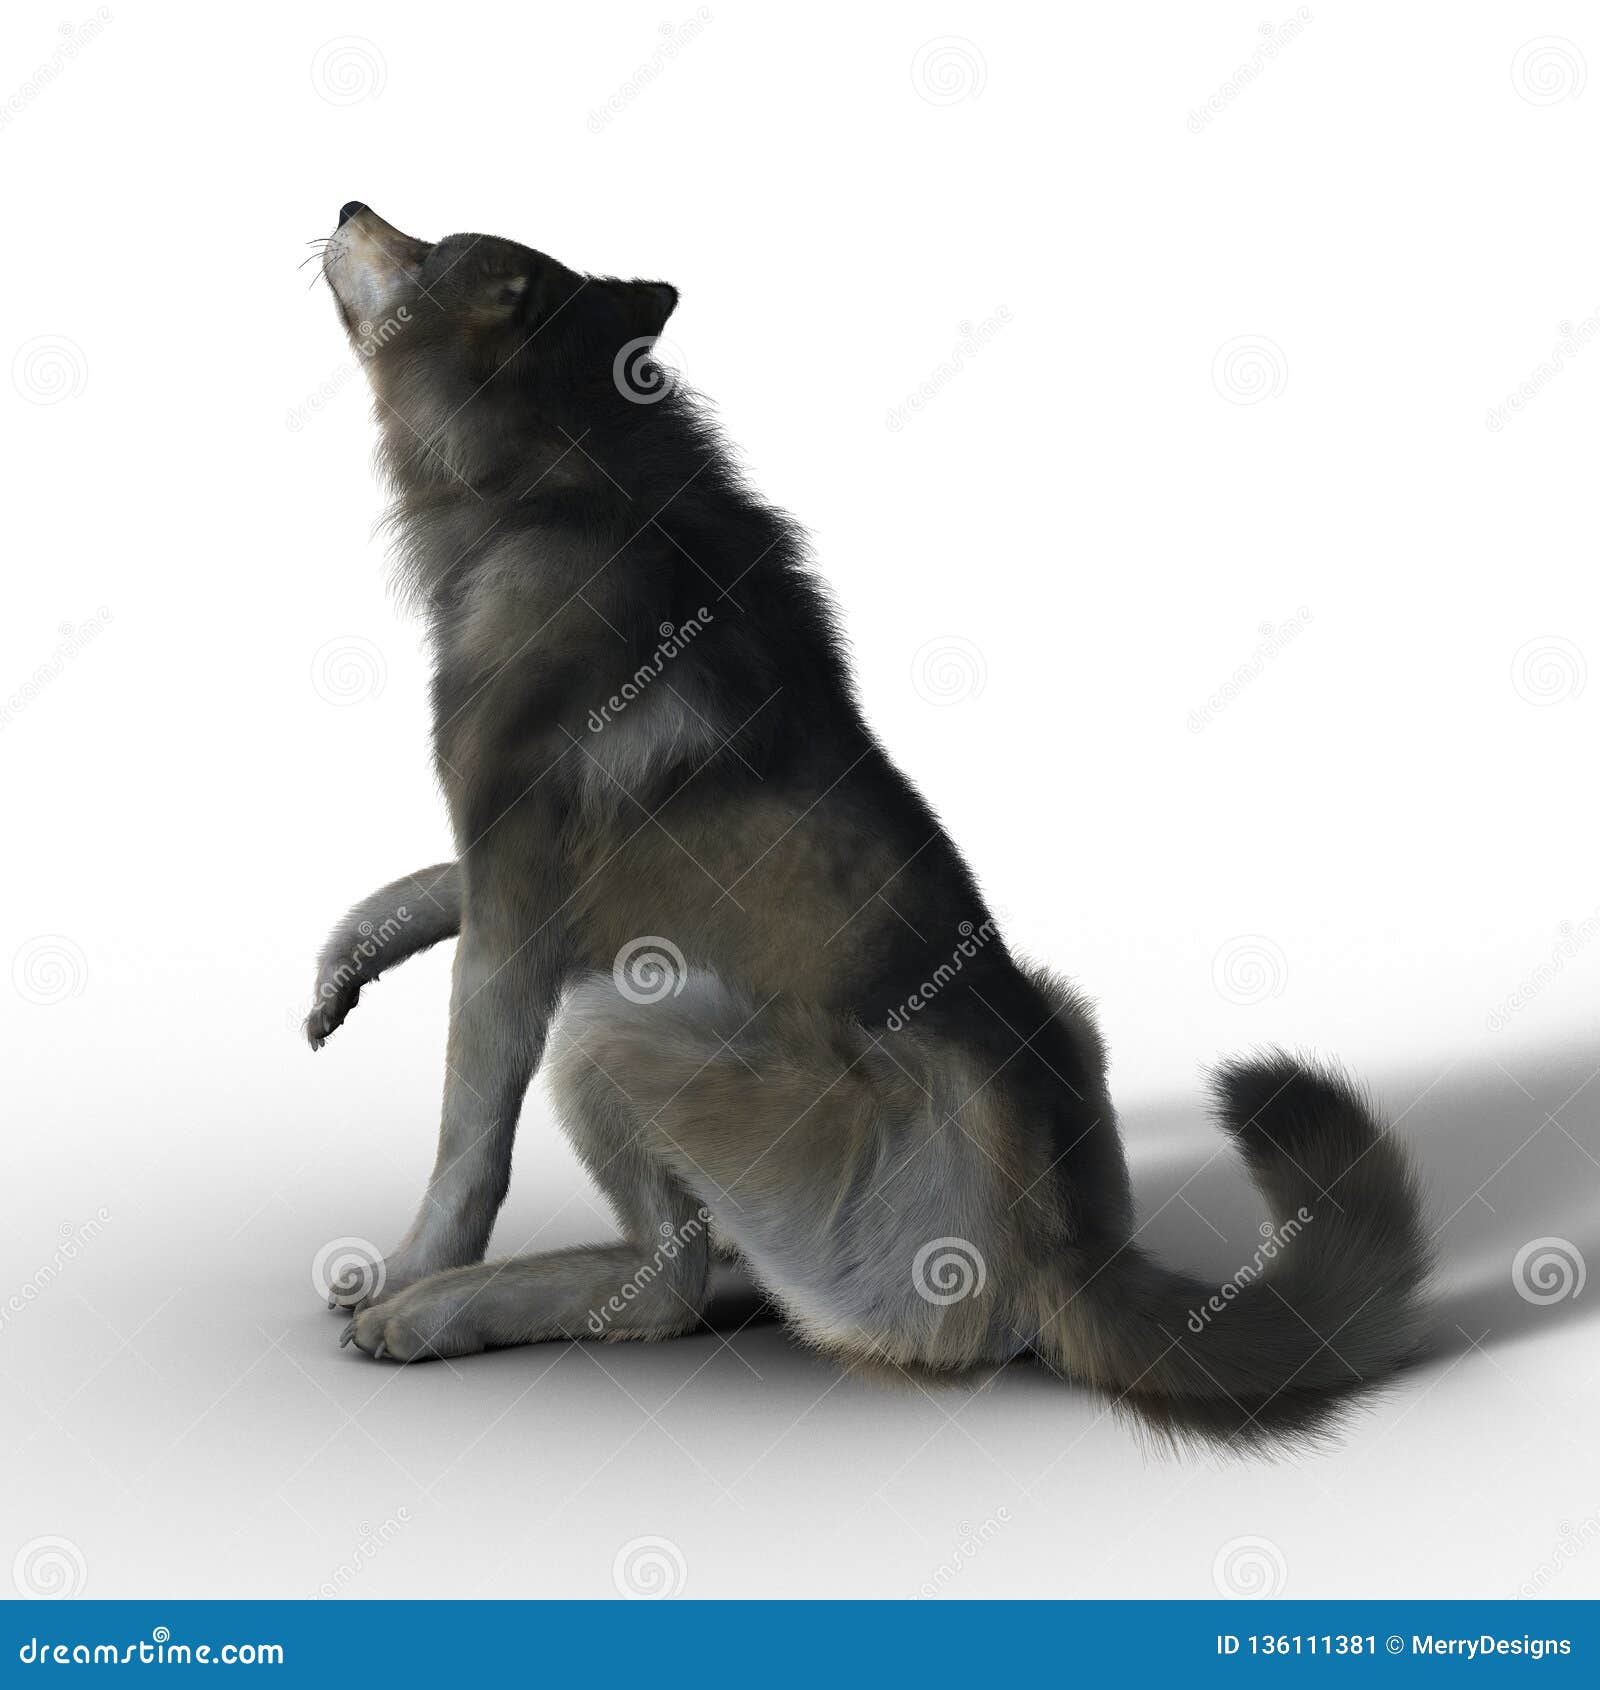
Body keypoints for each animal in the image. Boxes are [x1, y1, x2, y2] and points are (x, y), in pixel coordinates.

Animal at [309, 202, 1429, 1445]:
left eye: (429, 249)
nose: (349, 206)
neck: (565, 483)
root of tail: (1060, 1248)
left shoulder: (516, 897)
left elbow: (468, 1135)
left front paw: (414, 1268)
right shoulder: (513, 873)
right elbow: (426, 885)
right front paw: (344, 961)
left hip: (615, 1023)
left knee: (662, 1286)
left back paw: (443, 1312)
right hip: (1057, 1013)